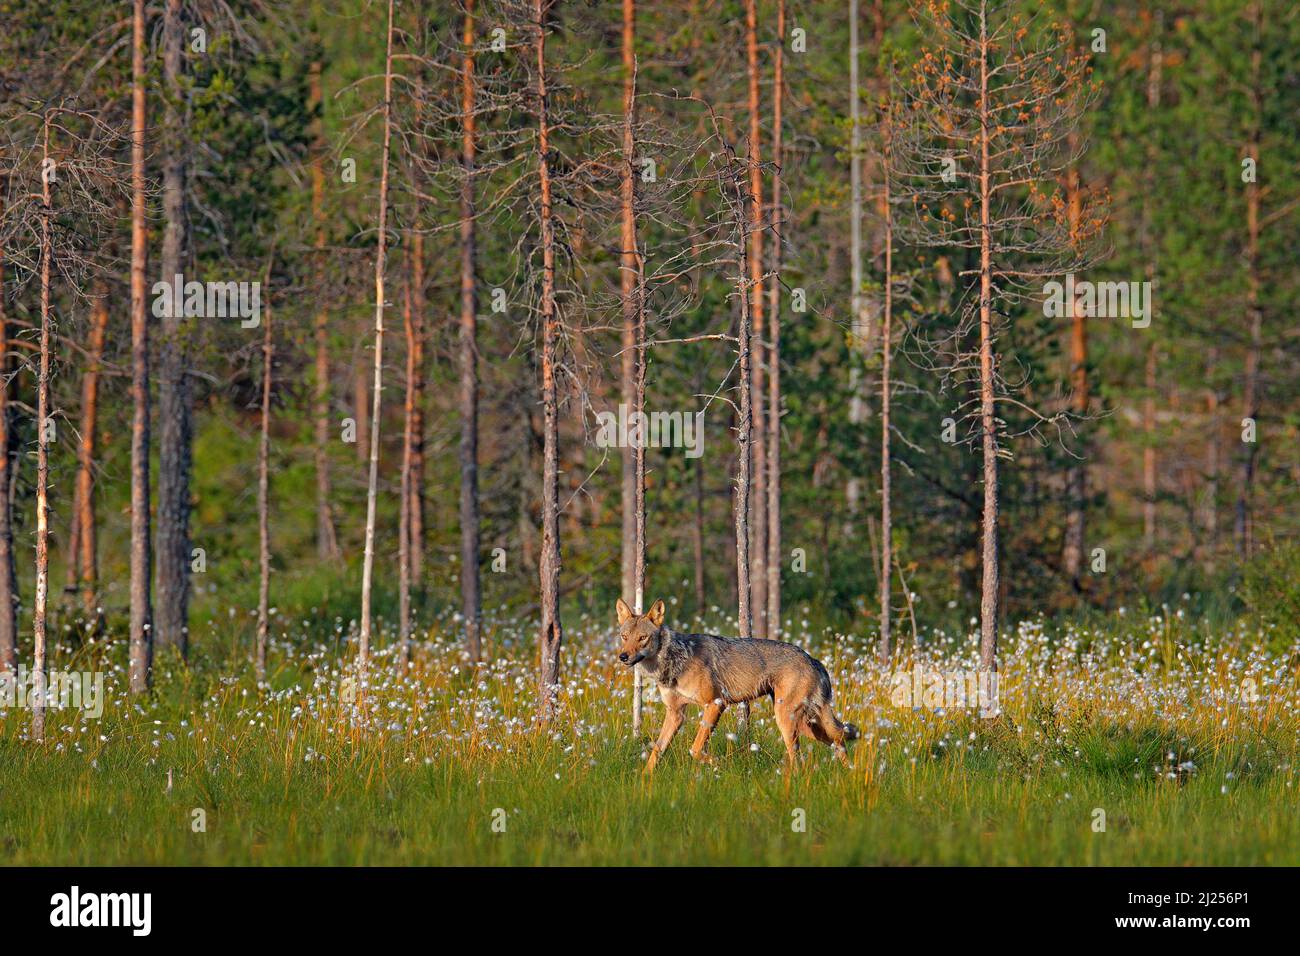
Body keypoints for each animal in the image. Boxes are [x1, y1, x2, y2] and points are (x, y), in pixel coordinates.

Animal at [616, 598, 858, 771]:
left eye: (643, 638)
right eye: (624, 636)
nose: (623, 656)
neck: (675, 661)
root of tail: (813, 659)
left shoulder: (715, 703)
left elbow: (695, 750)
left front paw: (720, 765)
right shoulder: (676, 713)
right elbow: (657, 750)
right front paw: (645, 782)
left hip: (787, 720)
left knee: (800, 759)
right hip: (808, 726)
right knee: (838, 742)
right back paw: (849, 774)